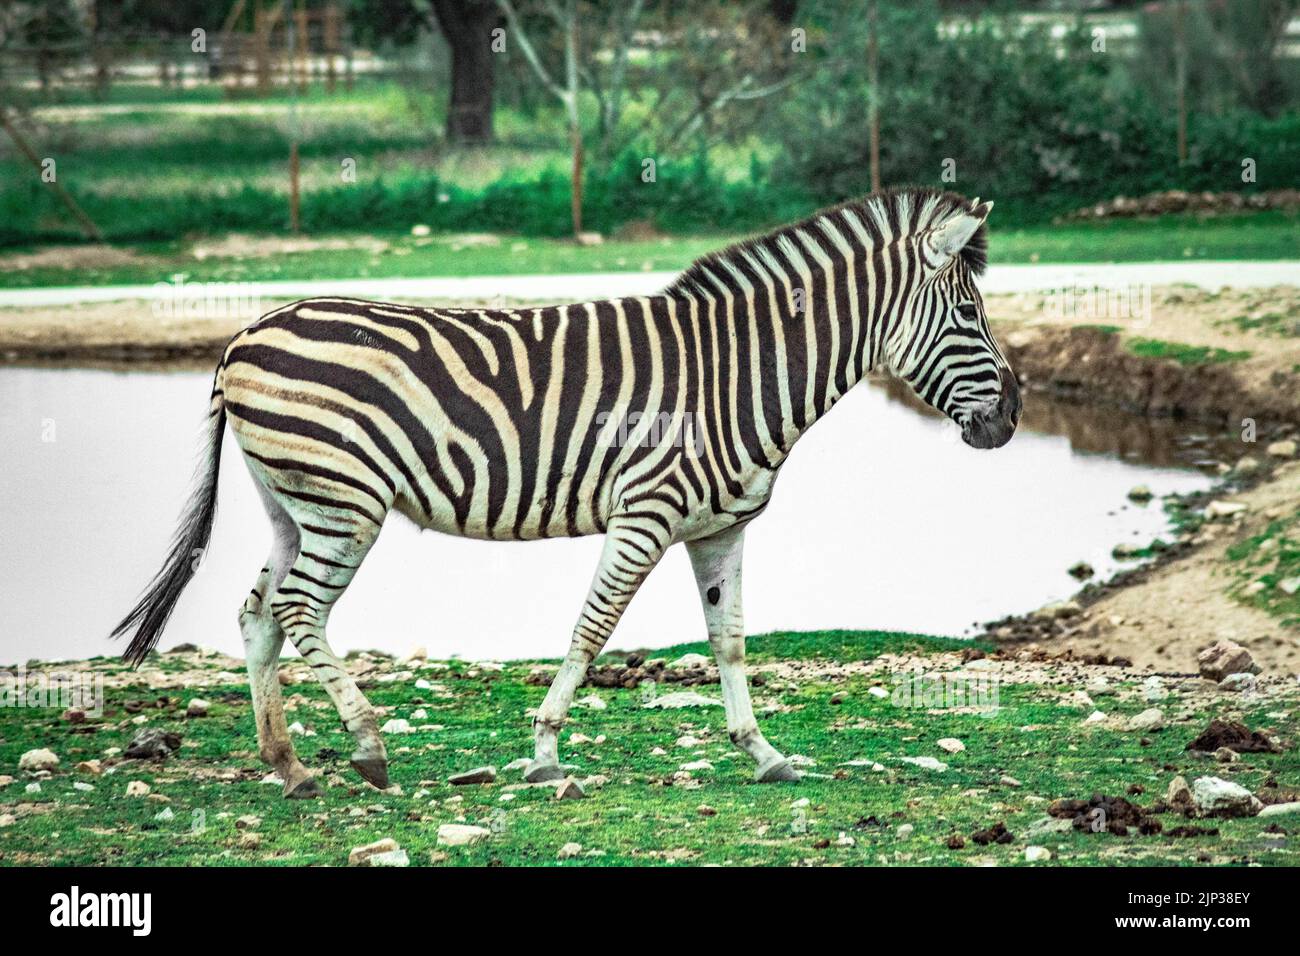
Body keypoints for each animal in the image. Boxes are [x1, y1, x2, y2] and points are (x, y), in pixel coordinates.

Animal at [112, 187, 1020, 797]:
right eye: (970, 315)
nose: (1012, 417)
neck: (737, 375)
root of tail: (244, 332)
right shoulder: (646, 514)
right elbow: (592, 630)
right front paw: (547, 754)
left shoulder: (720, 527)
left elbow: (729, 641)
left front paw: (761, 753)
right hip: (345, 502)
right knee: (300, 609)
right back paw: (365, 747)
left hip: (293, 503)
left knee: (259, 612)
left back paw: (290, 764)